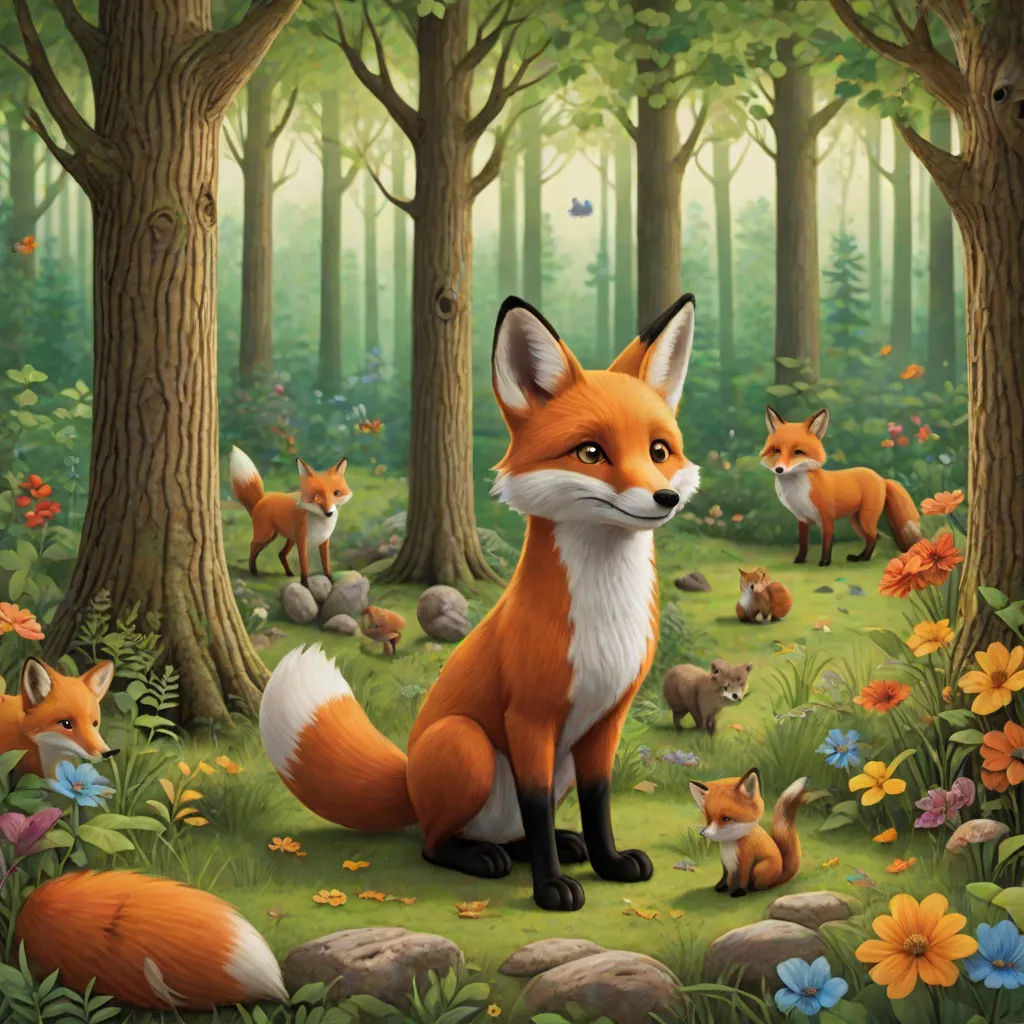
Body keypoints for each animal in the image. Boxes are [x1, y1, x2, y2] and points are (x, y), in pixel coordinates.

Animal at [229, 446, 351, 588]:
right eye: (316, 496)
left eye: (336, 493)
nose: (329, 513)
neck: (320, 525)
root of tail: (261, 499)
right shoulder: (302, 542)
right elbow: (305, 567)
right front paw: (305, 584)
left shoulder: (324, 542)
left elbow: (326, 566)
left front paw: (331, 581)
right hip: (266, 535)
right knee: (253, 546)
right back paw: (253, 570)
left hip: (286, 538)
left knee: (280, 554)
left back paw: (289, 573)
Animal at [259, 293, 701, 912]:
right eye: (591, 452)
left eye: (659, 451)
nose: (664, 498)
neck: (603, 617)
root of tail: (409, 779)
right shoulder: (529, 719)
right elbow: (536, 806)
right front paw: (550, 890)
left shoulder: (604, 722)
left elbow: (599, 803)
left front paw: (609, 863)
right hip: (466, 746)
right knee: (435, 842)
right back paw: (482, 858)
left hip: (550, 762)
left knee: (510, 831)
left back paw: (554, 845)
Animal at [690, 769, 808, 897]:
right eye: (708, 819)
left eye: (726, 818)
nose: (703, 833)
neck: (729, 845)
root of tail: (780, 873)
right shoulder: (725, 862)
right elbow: (725, 877)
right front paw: (722, 887)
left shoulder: (746, 860)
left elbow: (743, 878)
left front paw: (739, 891)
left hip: (760, 868)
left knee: (762, 886)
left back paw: (752, 889)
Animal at [761, 406, 921, 566]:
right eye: (776, 450)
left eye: (798, 452)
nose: (779, 469)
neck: (797, 491)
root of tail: (882, 478)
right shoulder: (802, 519)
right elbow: (803, 543)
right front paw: (800, 560)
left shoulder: (827, 517)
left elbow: (827, 542)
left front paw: (824, 562)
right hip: (856, 521)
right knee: (872, 537)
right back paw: (859, 557)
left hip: (865, 519)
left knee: (873, 537)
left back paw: (864, 558)